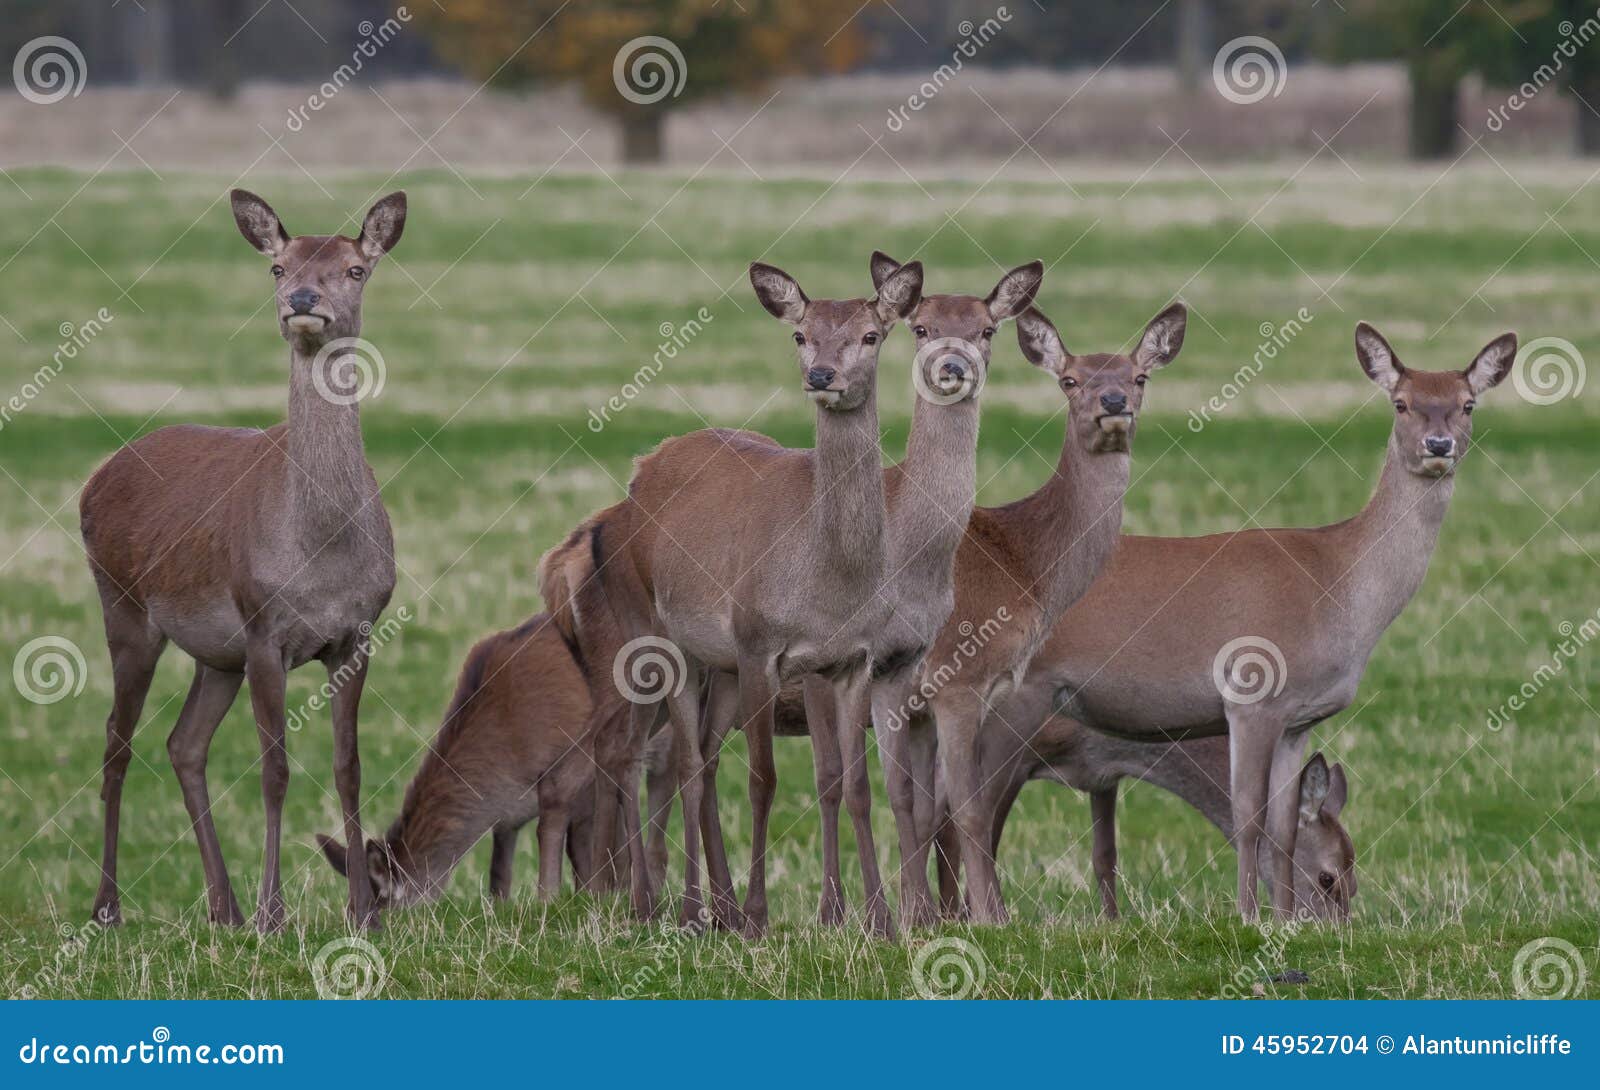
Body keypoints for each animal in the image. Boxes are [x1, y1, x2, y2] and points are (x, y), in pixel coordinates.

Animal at [80, 189, 406, 932]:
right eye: (278, 267)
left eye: (355, 268)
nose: (303, 299)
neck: (322, 552)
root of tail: (96, 478)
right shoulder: (264, 629)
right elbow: (275, 769)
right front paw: (273, 913)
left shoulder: (358, 633)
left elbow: (348, 766)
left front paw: (361, 913)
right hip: (125, 606)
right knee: (116, 741)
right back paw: (110, 907)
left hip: (214, 654)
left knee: (183, 743)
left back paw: (220, 906)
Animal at [584, 258, 926, 938]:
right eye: (800, 334)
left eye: (872, 334)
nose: (822, 376)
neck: (829, 581)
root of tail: (642, 467)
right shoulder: (759, 642)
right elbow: (764, 779)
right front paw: (761, 912)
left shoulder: (853, 659)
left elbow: (857, 785)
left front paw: (879, 920)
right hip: (652, 632)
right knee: (672, 762)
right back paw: (673, 906)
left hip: (715, 664)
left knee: (702, 760)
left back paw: (715, 906)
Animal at [973, 323, 1514, 922]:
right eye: (1401, 403)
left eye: (1467, 404)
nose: (1438, 446)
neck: (1337, 587)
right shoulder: (1252, 695)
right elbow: (1248, 818)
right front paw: (1248, 917)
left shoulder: (1300, 719)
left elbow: (1282, 827)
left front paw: (1283, 921)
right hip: (1014, 698)